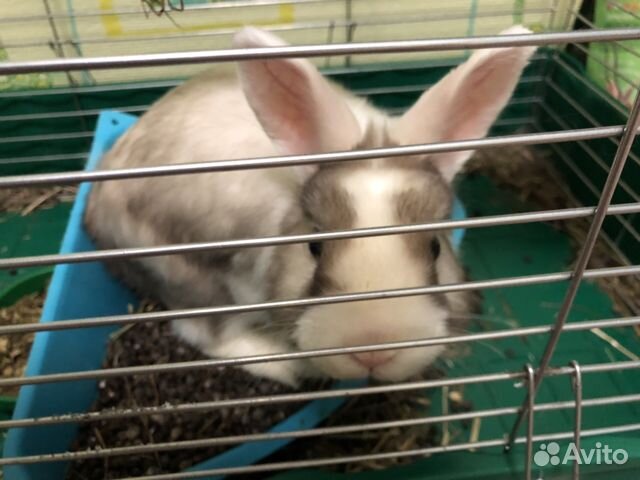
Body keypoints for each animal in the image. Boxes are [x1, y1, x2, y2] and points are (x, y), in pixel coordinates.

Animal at [85, 26, 536, 387]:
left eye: (435, 248)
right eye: (314, 247)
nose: (374, 349)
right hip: (190, 276)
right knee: (205, 332)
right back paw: (280, 365)